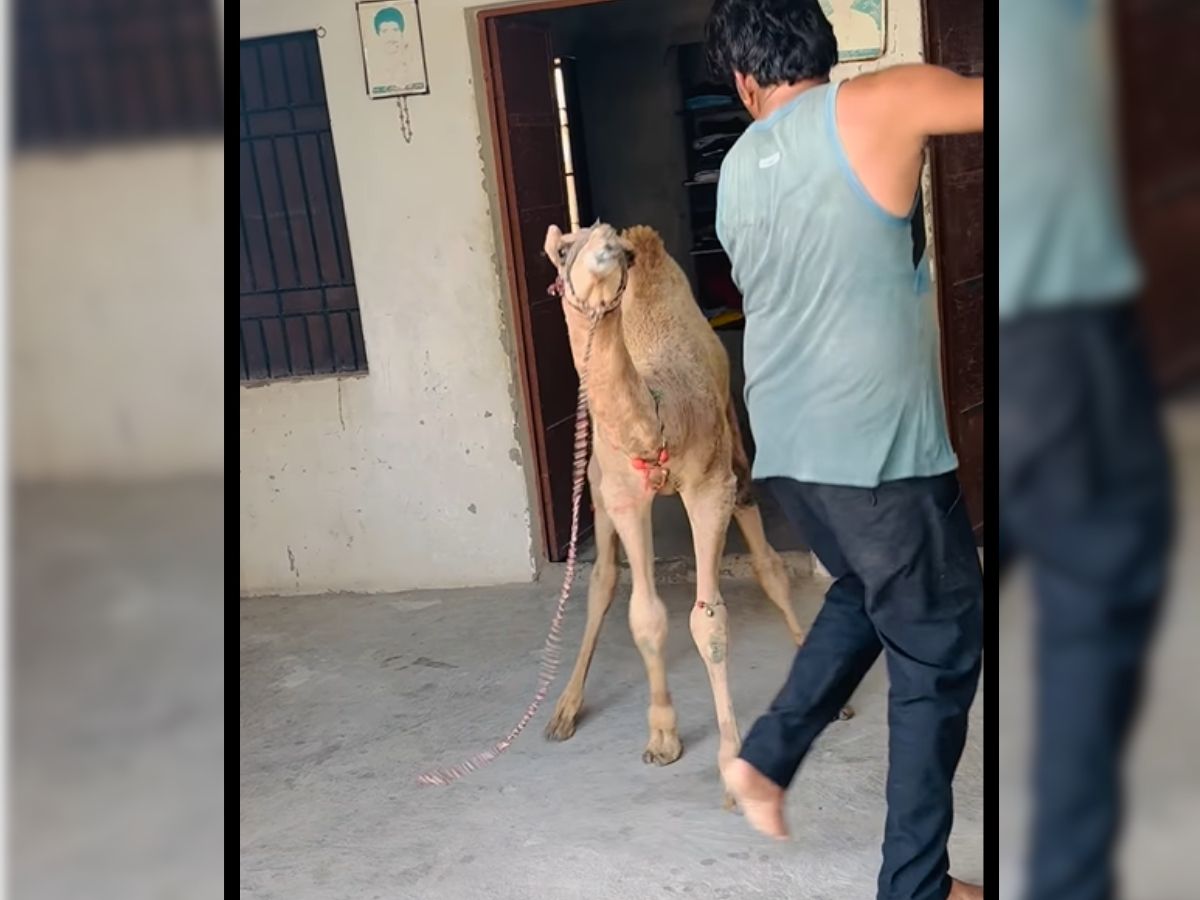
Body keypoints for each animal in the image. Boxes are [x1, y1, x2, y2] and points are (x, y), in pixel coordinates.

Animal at [540, 221, 808, 804]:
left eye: (619, 248)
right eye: (564, 249)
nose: (607, 248)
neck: (659, 422)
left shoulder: (709, 487)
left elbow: (708, 621)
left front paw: (732, 765)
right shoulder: (623, 498)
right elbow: (645, 614)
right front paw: (662, 734)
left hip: (733, 446)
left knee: (767, 558)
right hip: (595, 486)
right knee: (601, 580)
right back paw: (564, 708)